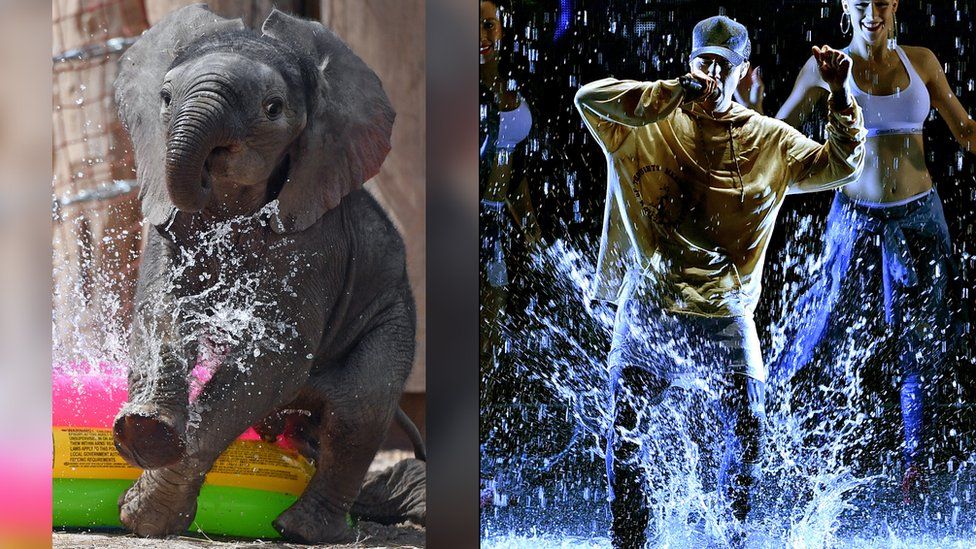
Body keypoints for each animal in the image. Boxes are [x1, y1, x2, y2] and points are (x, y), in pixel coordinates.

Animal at [109, 4, 423, 543]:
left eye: (273, 109)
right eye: (165, 98)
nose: (207, 171)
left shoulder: (318, 241)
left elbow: (277, 353)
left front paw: (145, 514)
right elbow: (161, 309)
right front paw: (146, 430)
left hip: (393, 317)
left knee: (360, 410)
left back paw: (302, 529)